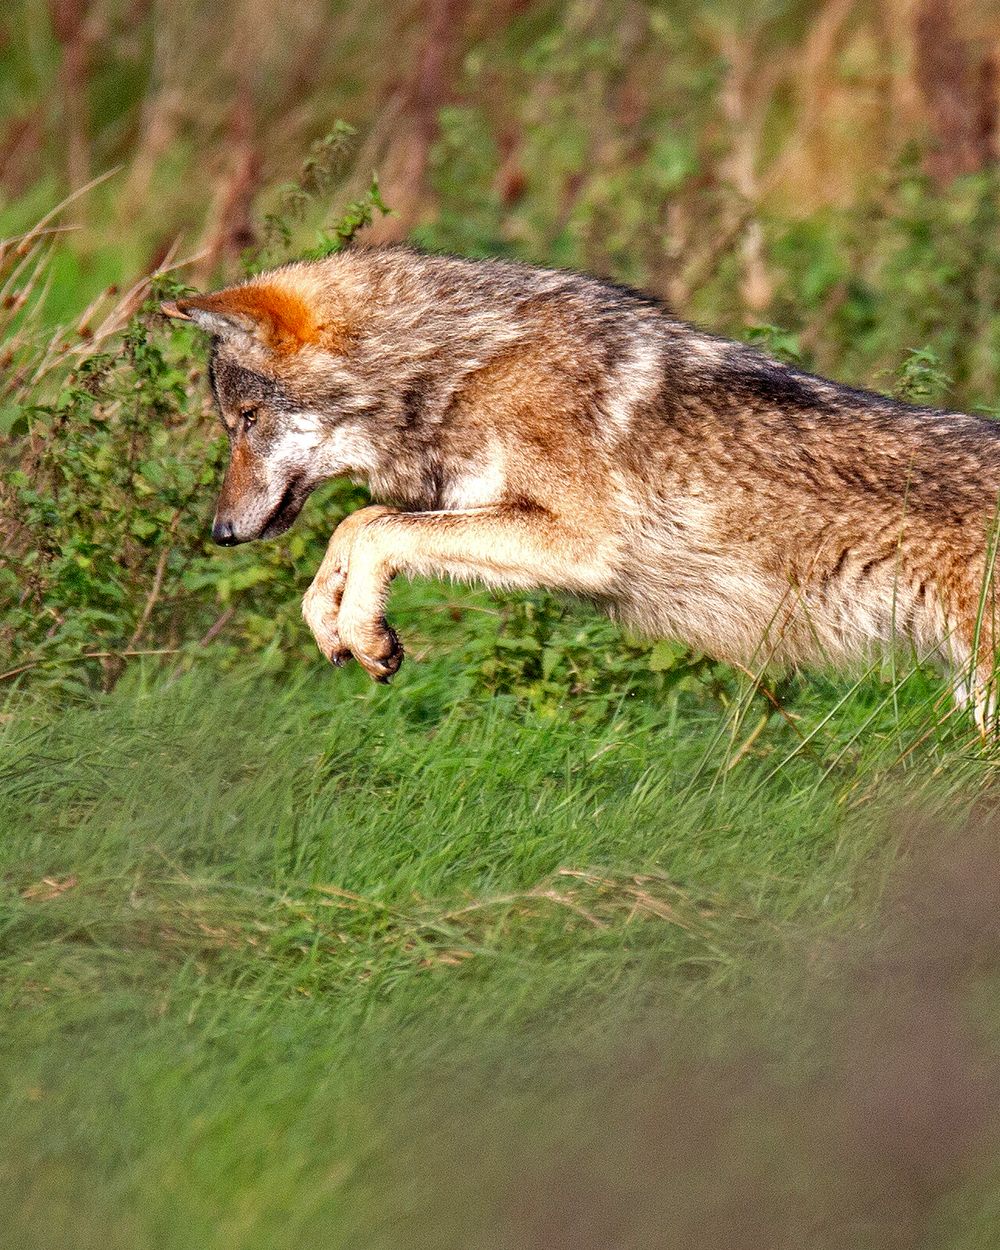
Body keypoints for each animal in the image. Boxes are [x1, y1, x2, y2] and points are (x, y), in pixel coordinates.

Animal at [162, 247, 1000, 728]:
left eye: (245, 420)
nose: (221, 533)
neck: (464, 368)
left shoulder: (582, 545)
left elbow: (374, 525)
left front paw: (364, 630)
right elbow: (357, 526)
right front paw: (337, 625)